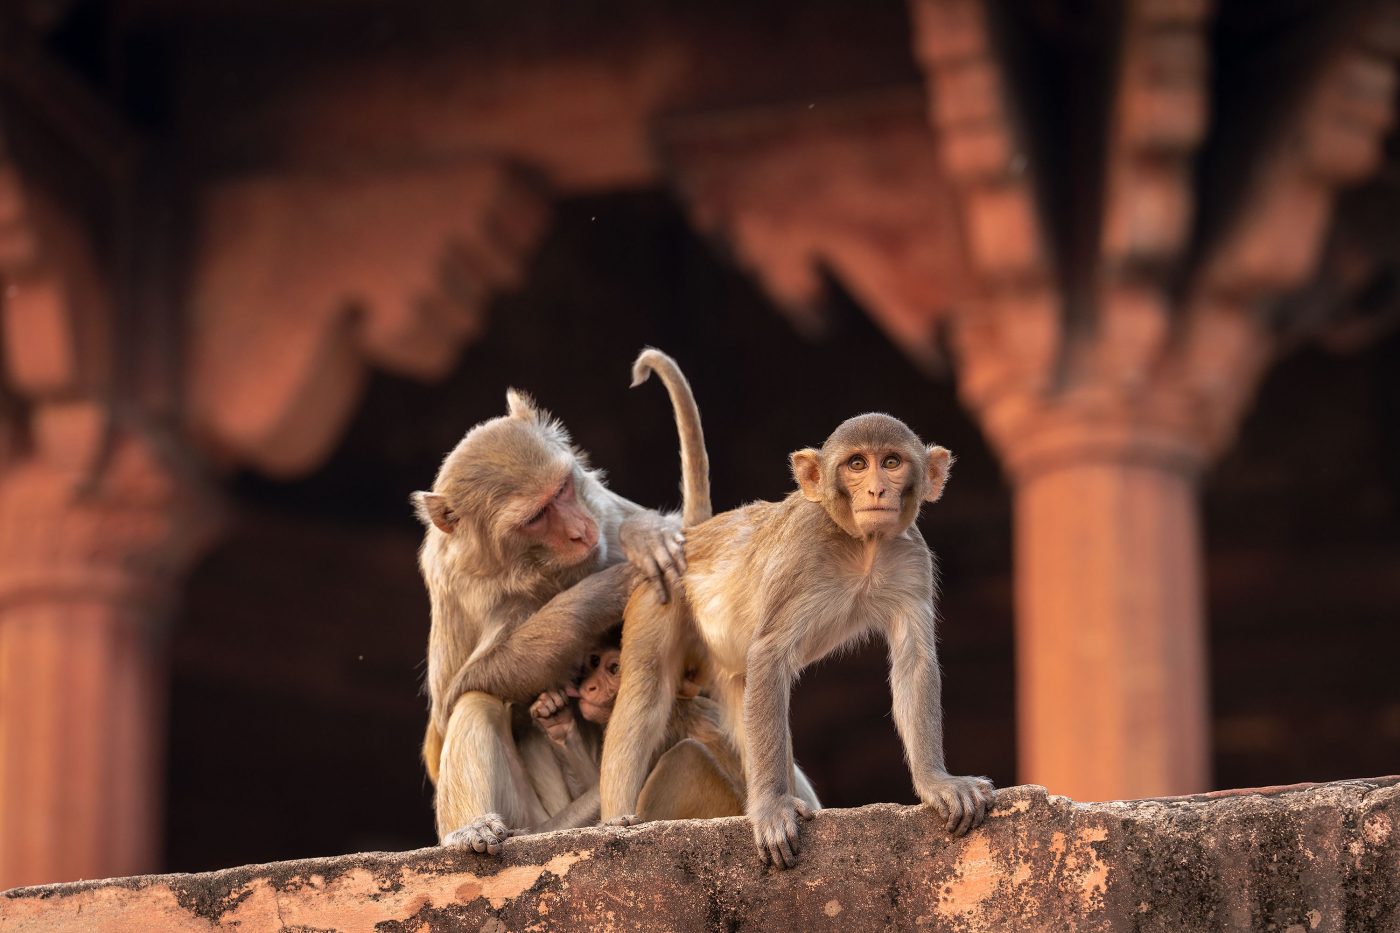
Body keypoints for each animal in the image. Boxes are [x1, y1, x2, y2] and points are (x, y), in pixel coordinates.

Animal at [412, 387, 698, 854]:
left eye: (563, 489)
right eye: (535, 517)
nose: (581, 531)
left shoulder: (600, 507)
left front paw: (643, 534)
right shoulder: (467, 590)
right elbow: (463, 688)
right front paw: (615, 583)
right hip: (528, 815)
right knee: (475, 701)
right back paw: (470, 828)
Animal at [600, 357, 993, 869]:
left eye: (891, 462)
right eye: (856, 463)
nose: (876, 489)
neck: (862, 544)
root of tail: (697, 533)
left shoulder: (912, 560)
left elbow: (915, 661)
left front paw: (936, 783)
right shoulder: (802, 552)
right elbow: (769, 654)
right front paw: (770, 808)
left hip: (727, 674)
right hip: (660, 597)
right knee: (645, 691)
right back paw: (617, 820)